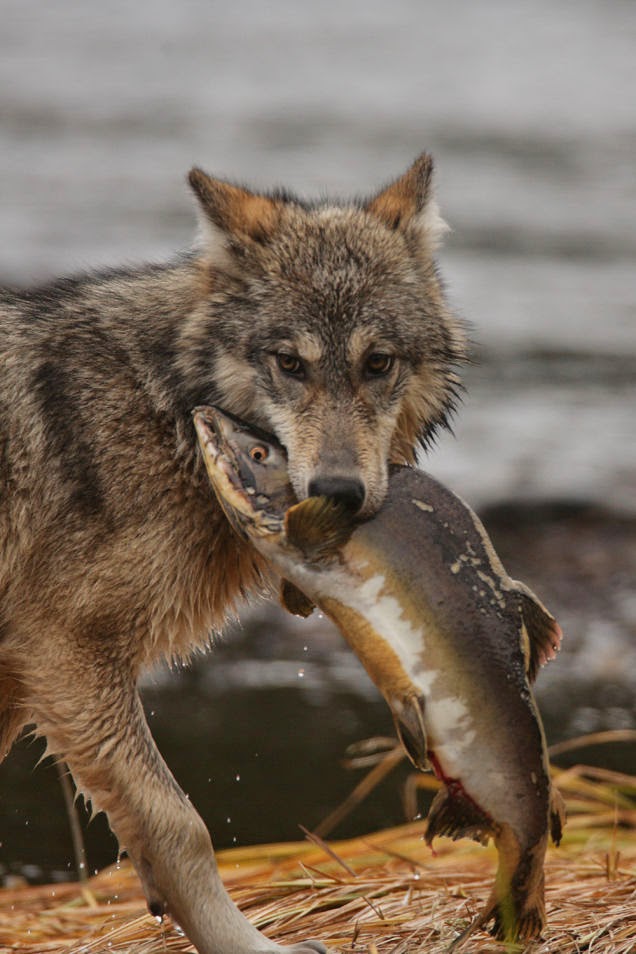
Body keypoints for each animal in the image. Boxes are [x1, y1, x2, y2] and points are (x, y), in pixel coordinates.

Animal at [0, 154, 466, 954]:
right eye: (290, 364)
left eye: (378, 363)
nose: (338, 491)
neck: (166, 409)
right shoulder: (64, 655)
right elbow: (179, 827)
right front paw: (250, 946)